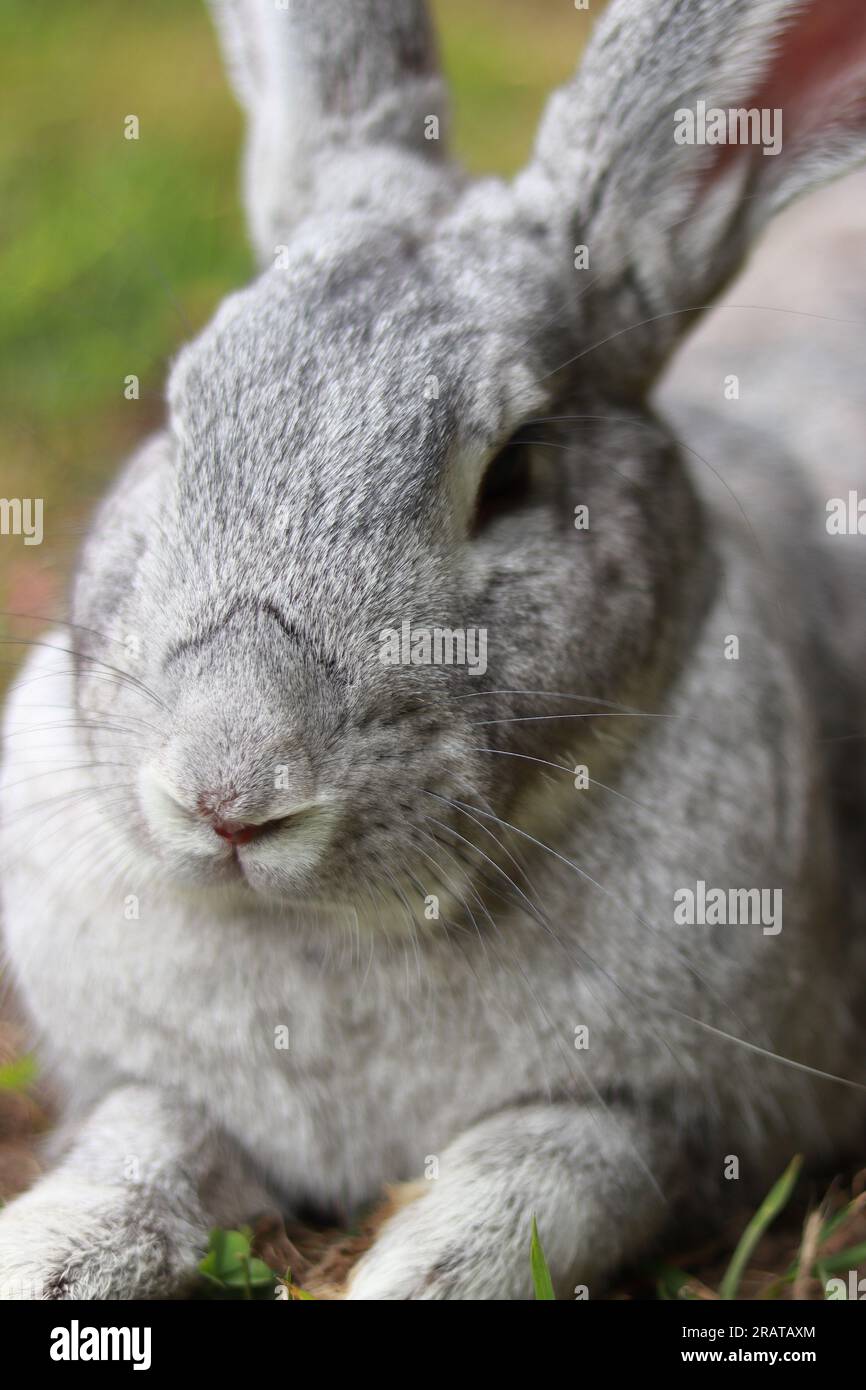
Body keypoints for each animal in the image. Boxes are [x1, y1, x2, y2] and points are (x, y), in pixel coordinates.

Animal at [2, 0, 866, 1301]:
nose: (228, 796)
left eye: (513, 472)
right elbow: (139, 1146)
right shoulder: (145, 1086)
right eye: (179, 411)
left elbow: (551, 1174)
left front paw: (408, 1273)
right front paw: (43, 1255)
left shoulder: (676, 1121)